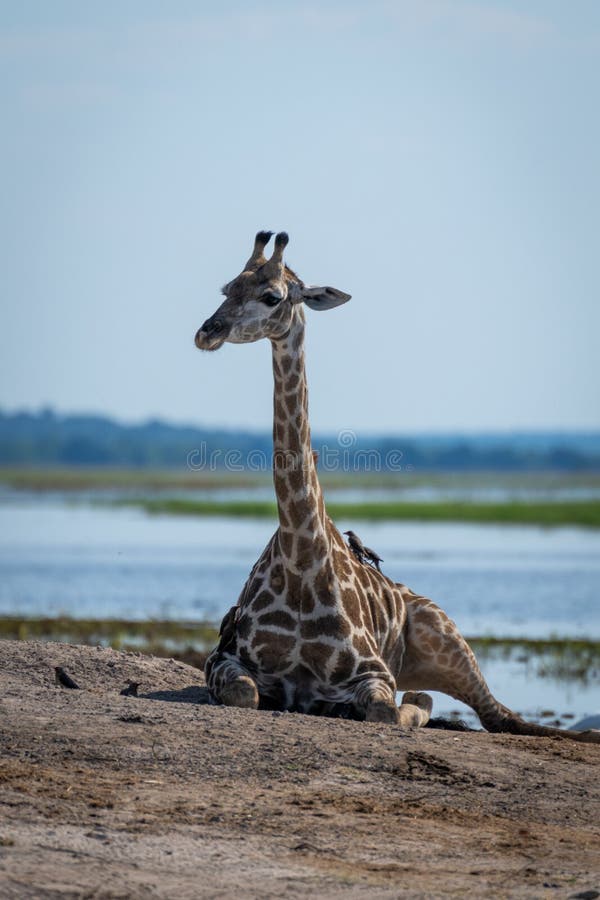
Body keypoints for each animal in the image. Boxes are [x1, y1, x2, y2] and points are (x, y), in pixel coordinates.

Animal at [195, 230, 599, 743]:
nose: (207, 331)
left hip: (445, 635)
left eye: (272, 296)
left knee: (498, 716)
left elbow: (387, 711)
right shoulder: (225, 657)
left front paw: (403, 707)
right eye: (228, 288)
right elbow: (245, 694)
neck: (302, 560)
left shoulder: (374, 673)